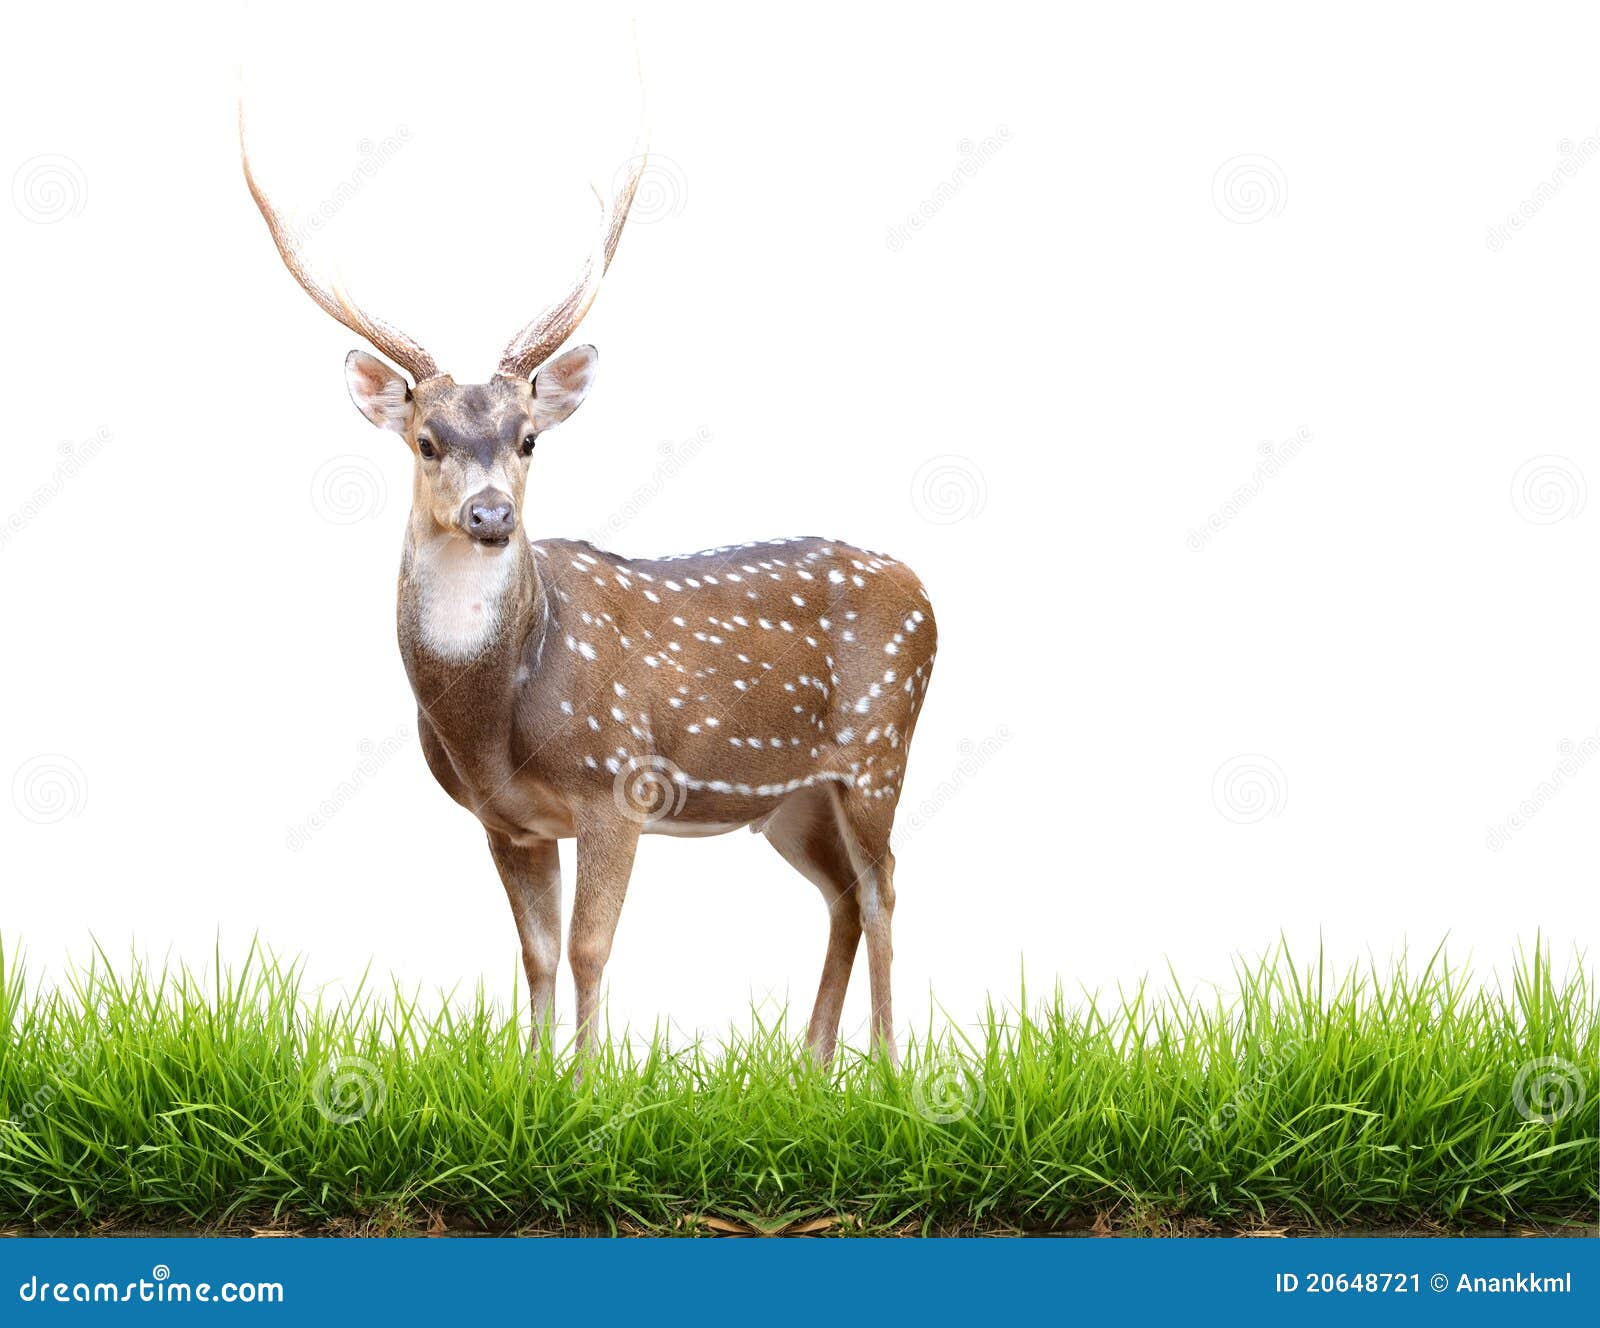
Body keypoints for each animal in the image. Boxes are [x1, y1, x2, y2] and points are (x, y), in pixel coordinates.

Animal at [240, 106, 936, 1067]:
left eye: (528, 438)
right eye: (426, 440)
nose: (491, 513)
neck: (494, 716)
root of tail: (924, 592)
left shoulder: (620, 780)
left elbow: (588, 945)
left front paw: (589, 1082)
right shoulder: (507, 820)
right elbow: (535, 951)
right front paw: (530, 1079)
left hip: (879, 747)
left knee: (884, 889)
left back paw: (890, 1071)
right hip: (790, 798)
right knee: (839, 897)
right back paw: (812, 1066)